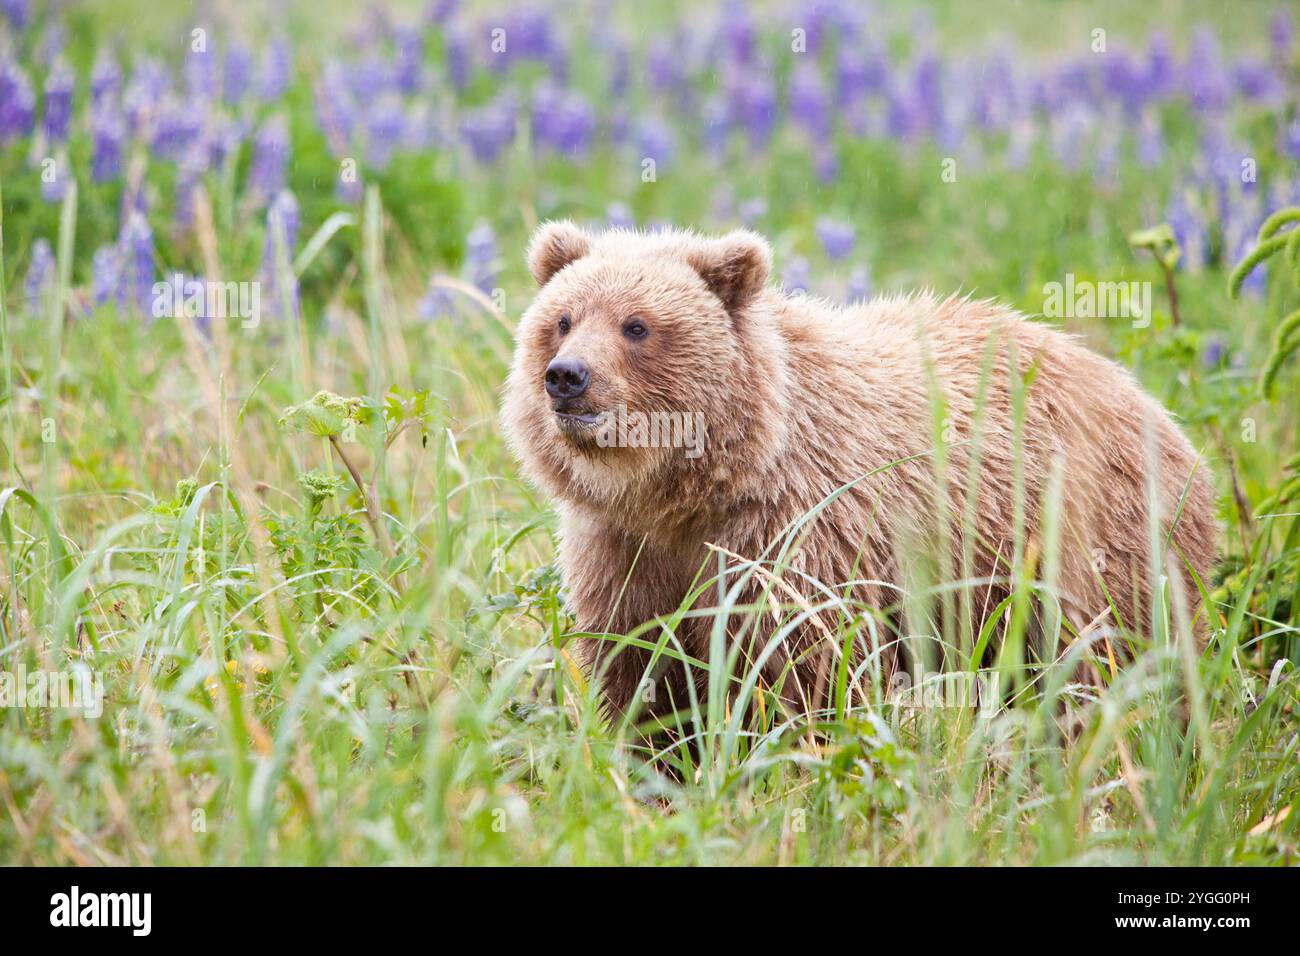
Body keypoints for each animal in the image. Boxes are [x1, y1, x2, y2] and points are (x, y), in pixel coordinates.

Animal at [502, 222, 1219, 721]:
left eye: (637, 325)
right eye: (562, 318)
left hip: (1088, 537)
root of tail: (1158, 411)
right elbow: (644, 672)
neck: (689, 492)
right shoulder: (625, 551)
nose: (567, 376)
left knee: (1107, 659)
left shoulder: (796, 532)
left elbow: (794, 670)